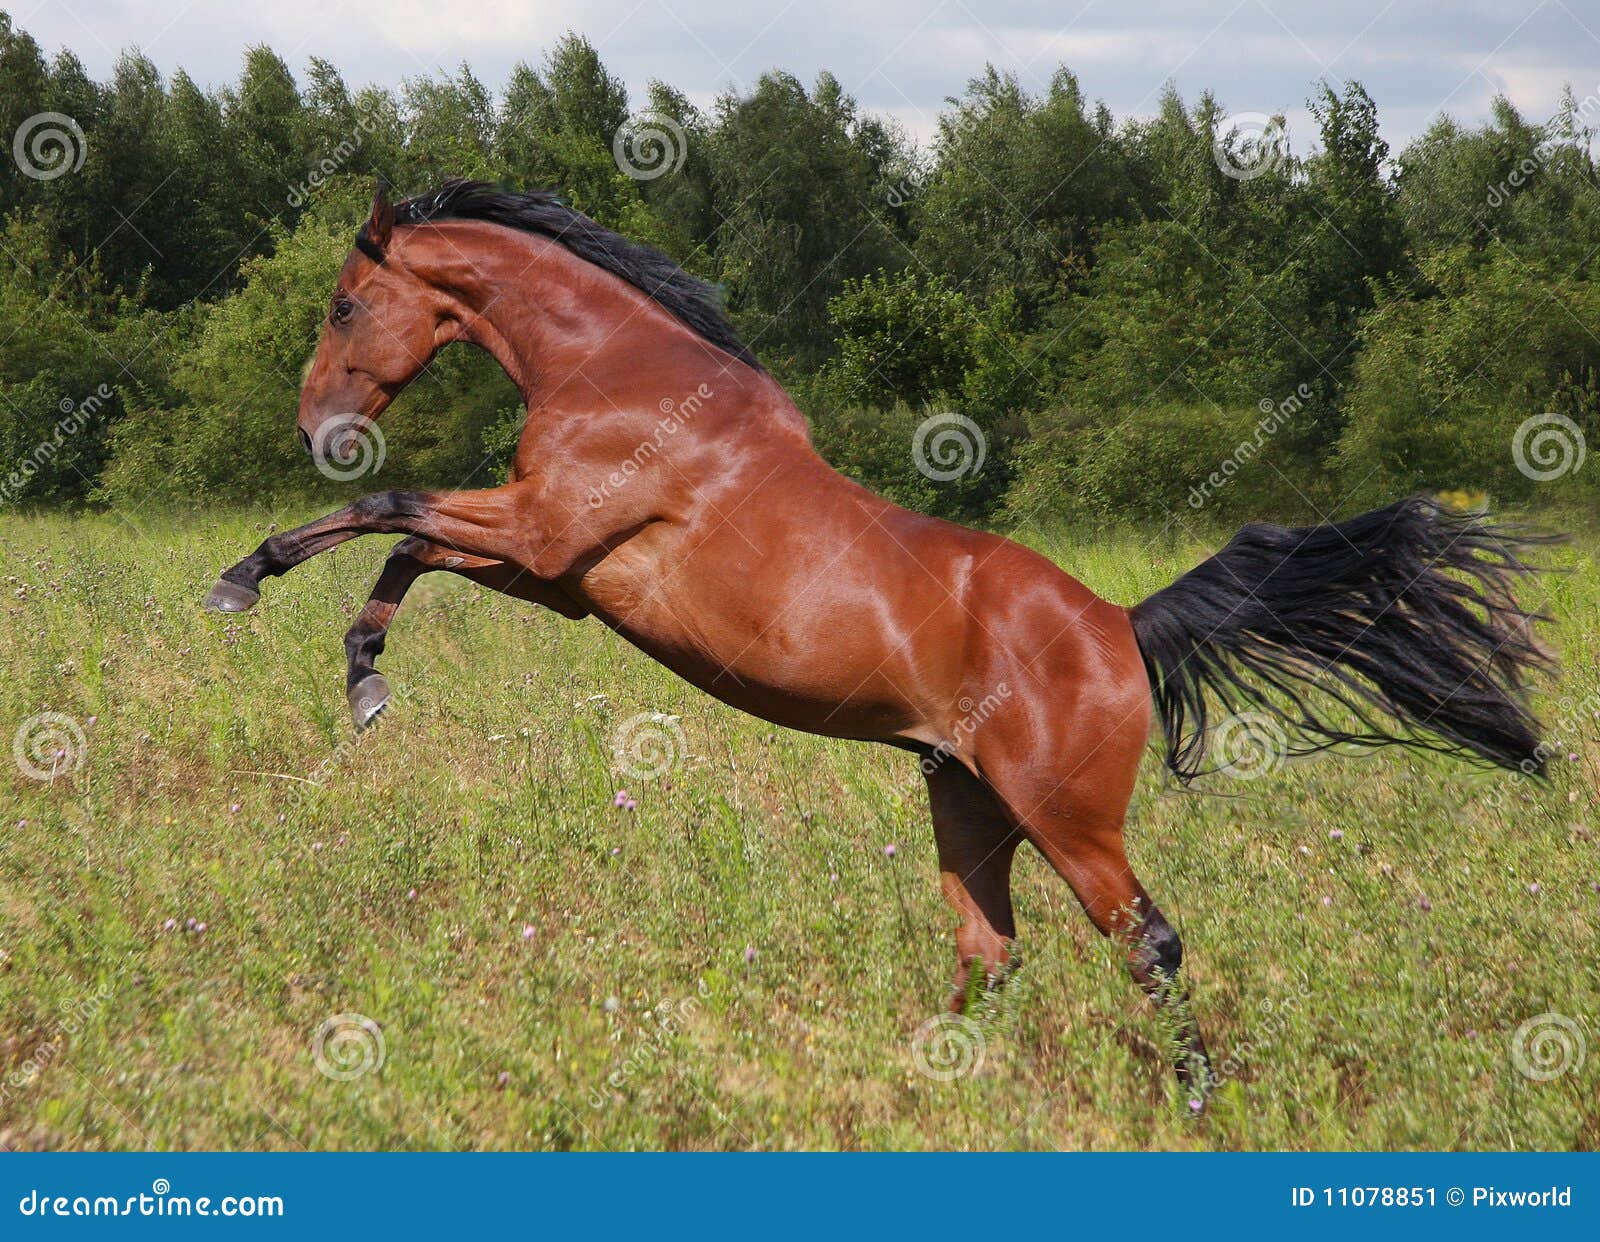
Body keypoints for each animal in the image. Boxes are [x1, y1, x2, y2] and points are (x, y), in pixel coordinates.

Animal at [206, 180, 1554, 1108]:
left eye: (344, 303)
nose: (317, 427)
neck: (622, 376)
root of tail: (1122, 628)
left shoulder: (544, 534)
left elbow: (389, 512)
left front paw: (244, 582)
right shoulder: (557, 575)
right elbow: (403, 549)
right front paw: (361, 677)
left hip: (1065, 819)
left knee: (1147, 940)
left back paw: (1190, 1100)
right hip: (967, 801)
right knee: (990, 947)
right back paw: (925, 1077)